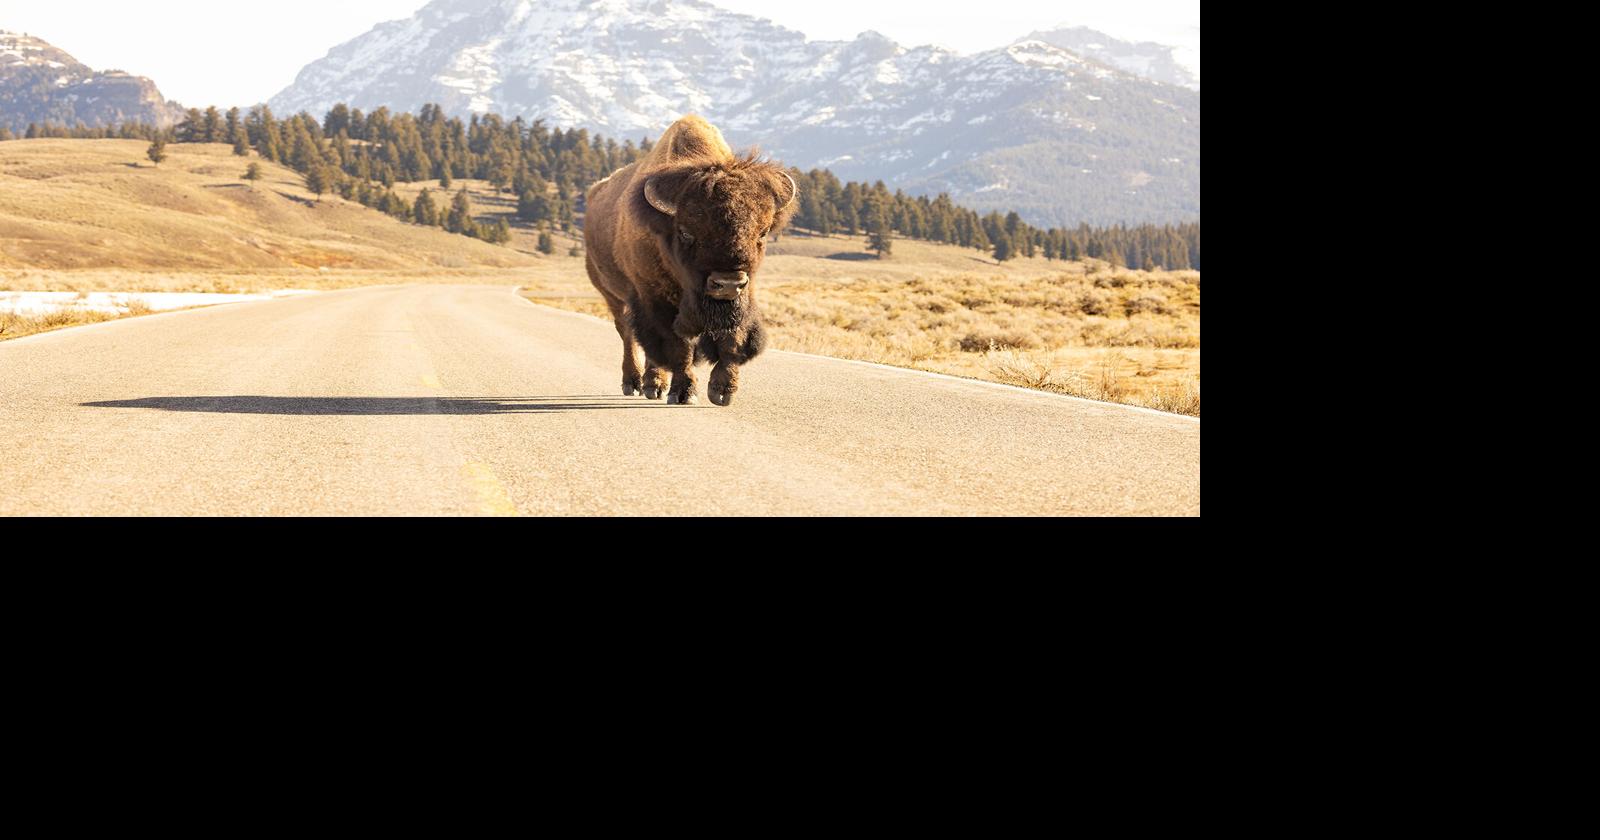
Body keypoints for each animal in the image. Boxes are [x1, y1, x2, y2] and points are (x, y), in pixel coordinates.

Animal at [583, 115, 796, 406]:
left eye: (762, 233)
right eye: (686, 232)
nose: (728, 283)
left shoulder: (742, 297)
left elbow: (733, 338)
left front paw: (723, 391)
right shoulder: (656, 298)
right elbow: (678, 345)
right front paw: (684, 392)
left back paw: (654, 385)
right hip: (612, 295)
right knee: (627, 333)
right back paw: (635, 383)